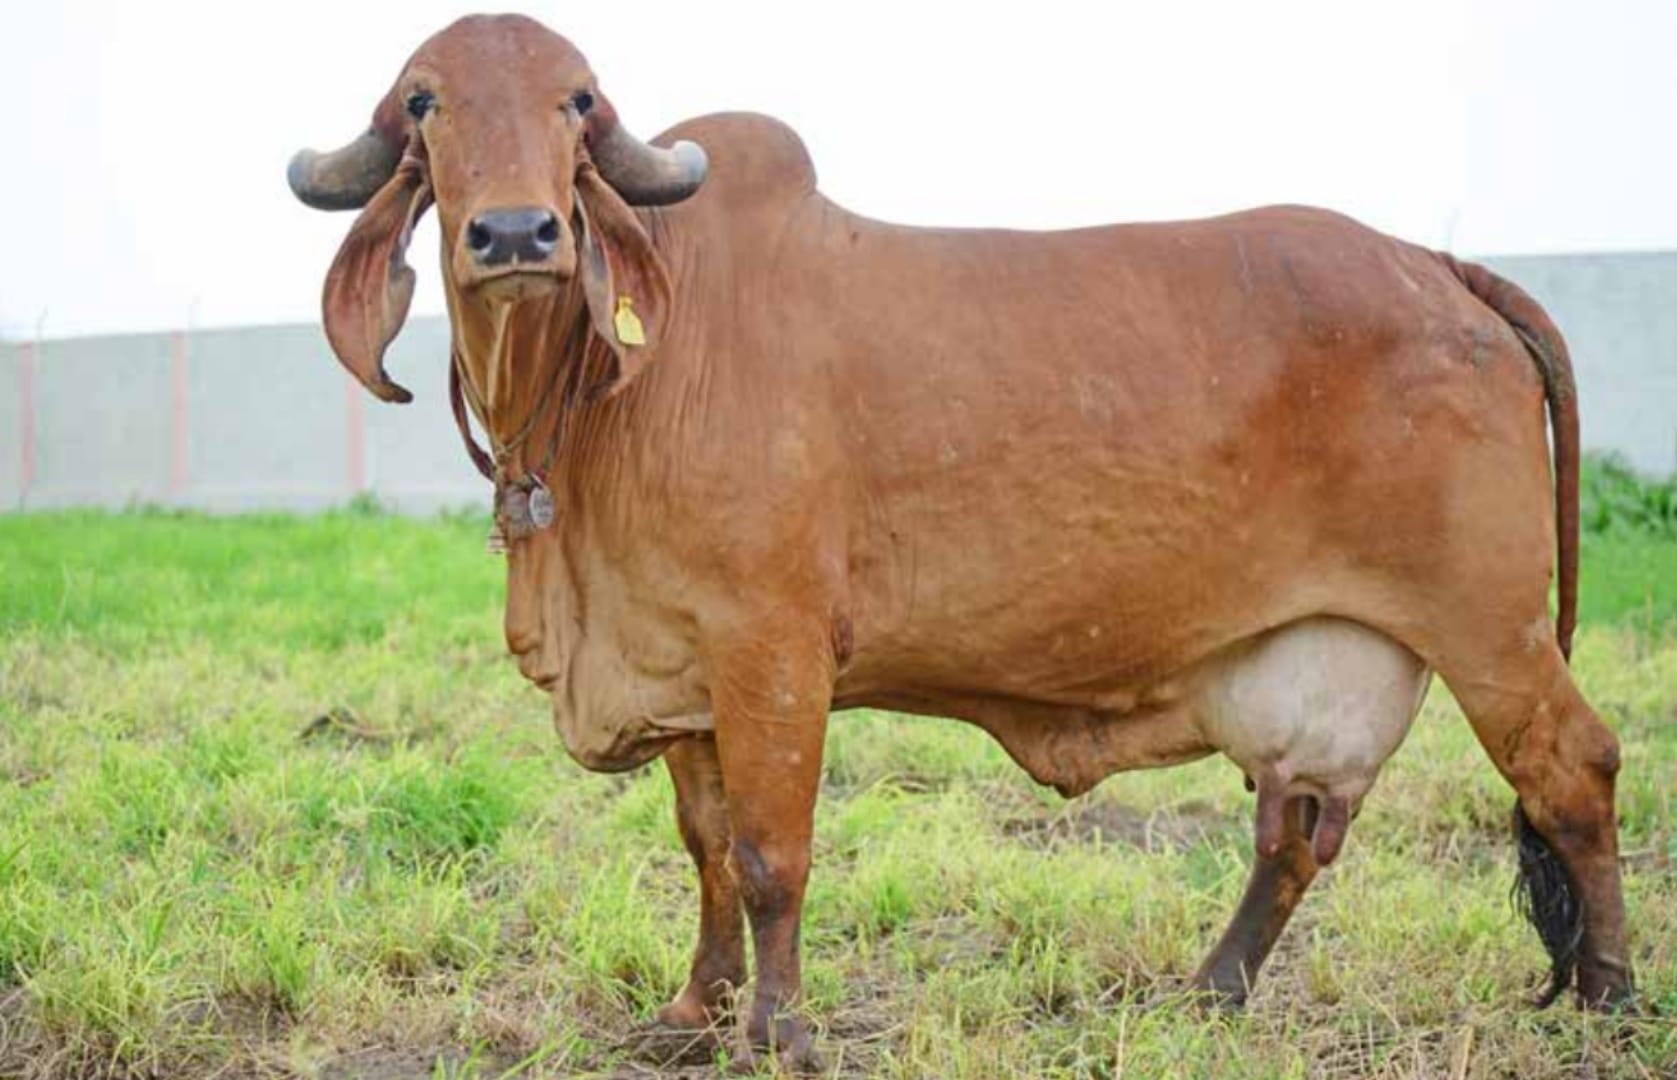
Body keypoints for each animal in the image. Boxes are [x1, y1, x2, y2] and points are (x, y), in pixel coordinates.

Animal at [288, 13, 1635, 1069]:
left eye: (577, 101)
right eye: (423, 101)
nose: (519, 236)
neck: (605, 388)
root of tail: (1439, 266)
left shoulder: (772, 652)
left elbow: (771, 854)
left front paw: (780, 1032)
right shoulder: (684, 672)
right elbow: (707, 848)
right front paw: (693, 1012)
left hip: (1492, 627)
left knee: (1574, 770)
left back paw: (1612, 997)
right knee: (1294, 832)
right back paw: (1211, 992)